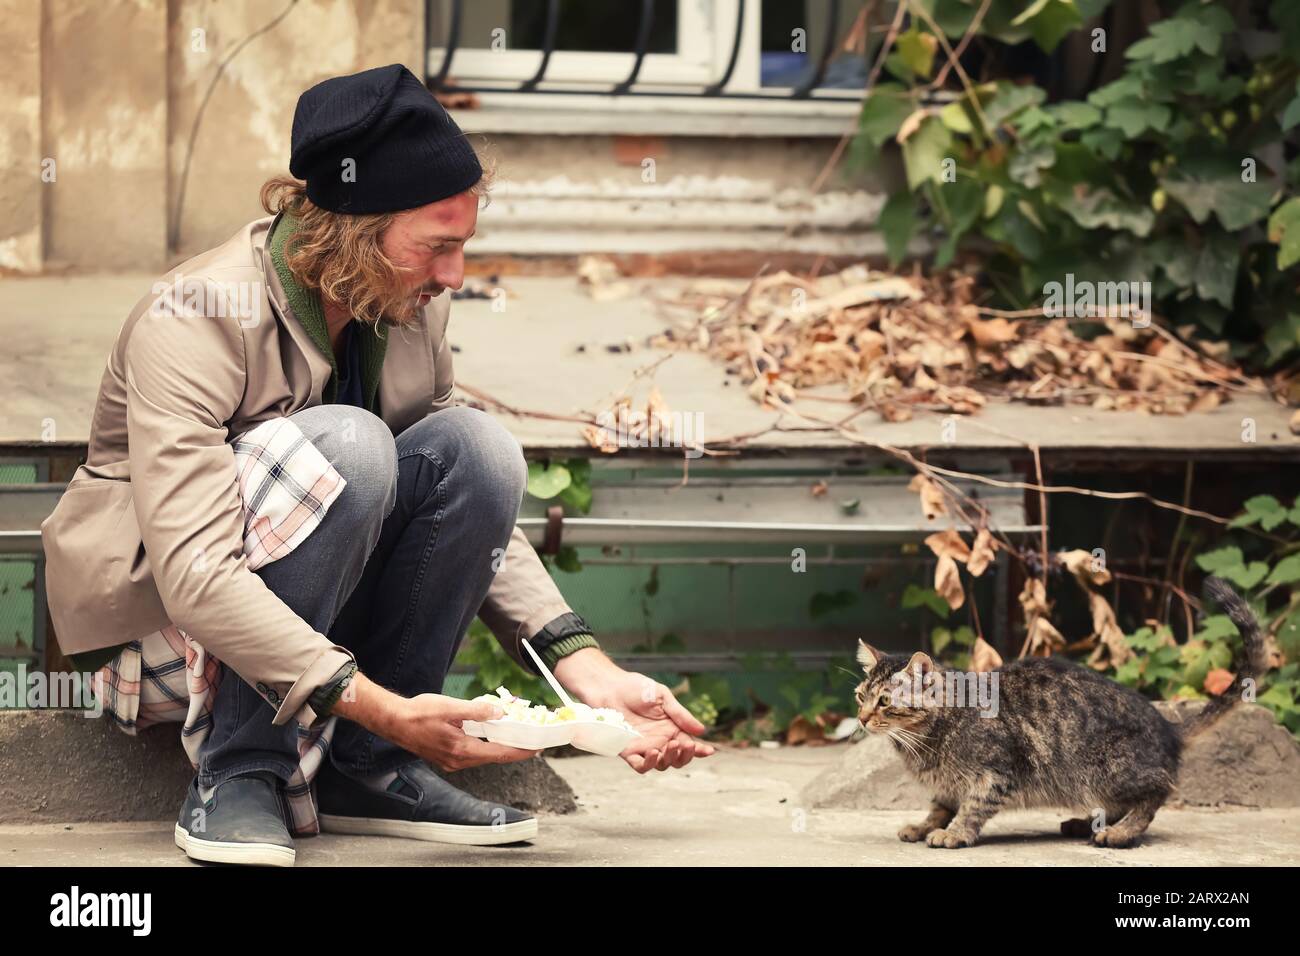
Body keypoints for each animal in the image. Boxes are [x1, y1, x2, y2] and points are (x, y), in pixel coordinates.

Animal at [857, 580, 1263, 848]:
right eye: (861, 695)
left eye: (884, 701)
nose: (861, 719)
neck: (925, 740)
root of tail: (1168, 727)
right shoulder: (948, 784)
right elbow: (939, 806)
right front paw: (923, 826)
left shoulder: (996, 772)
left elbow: (971, 808)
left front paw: (955, 833)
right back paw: (1088, 823)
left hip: (1110, 770)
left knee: (1156, 792)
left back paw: (1119, 832)